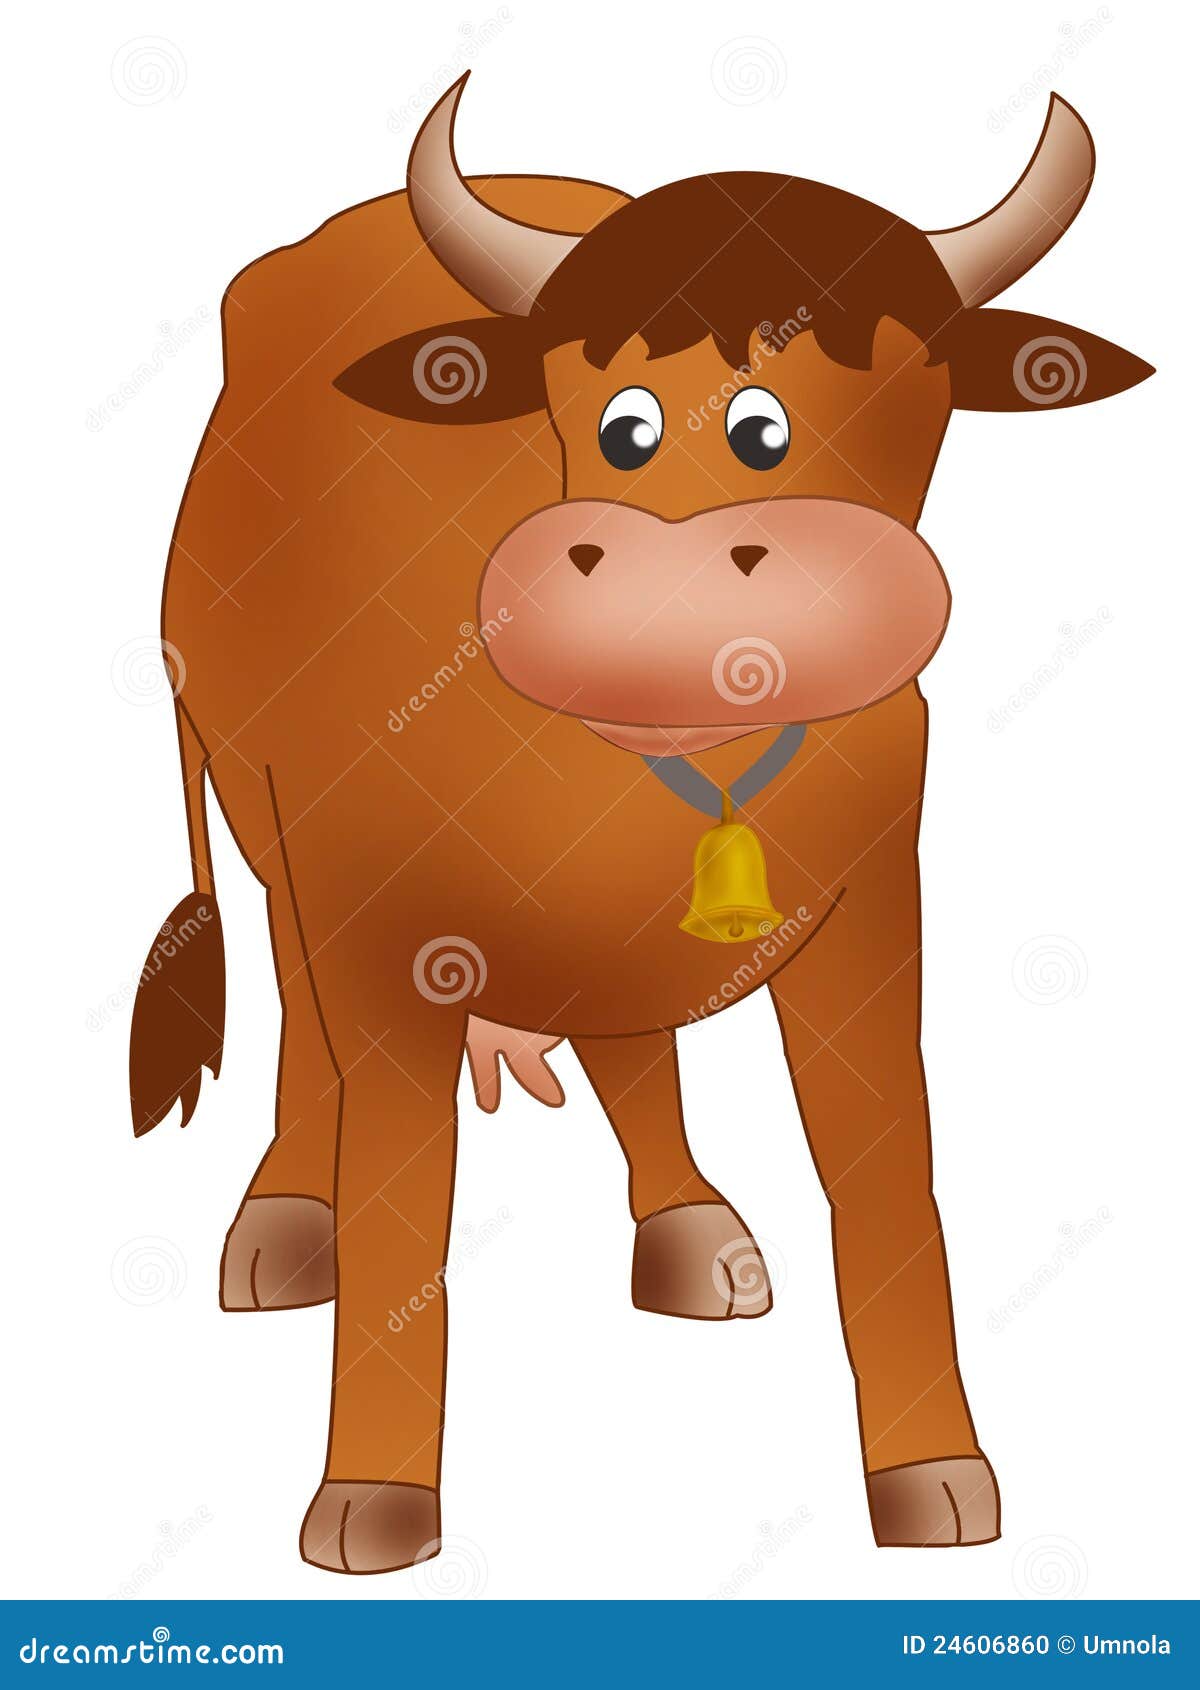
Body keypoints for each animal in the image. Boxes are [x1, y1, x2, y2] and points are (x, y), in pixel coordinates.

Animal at [130, 74, 1151, 1574]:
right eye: (618, 423)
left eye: (903, 400)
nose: (686, 585)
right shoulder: (373, 925)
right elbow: (399, 1202)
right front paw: (373, 1496)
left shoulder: (871, 917)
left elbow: (887, 1178)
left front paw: (934, 1469)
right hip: (253, 802)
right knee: (297, 1010)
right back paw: (284, 1216)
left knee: (626, 1037)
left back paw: (688, 1226)